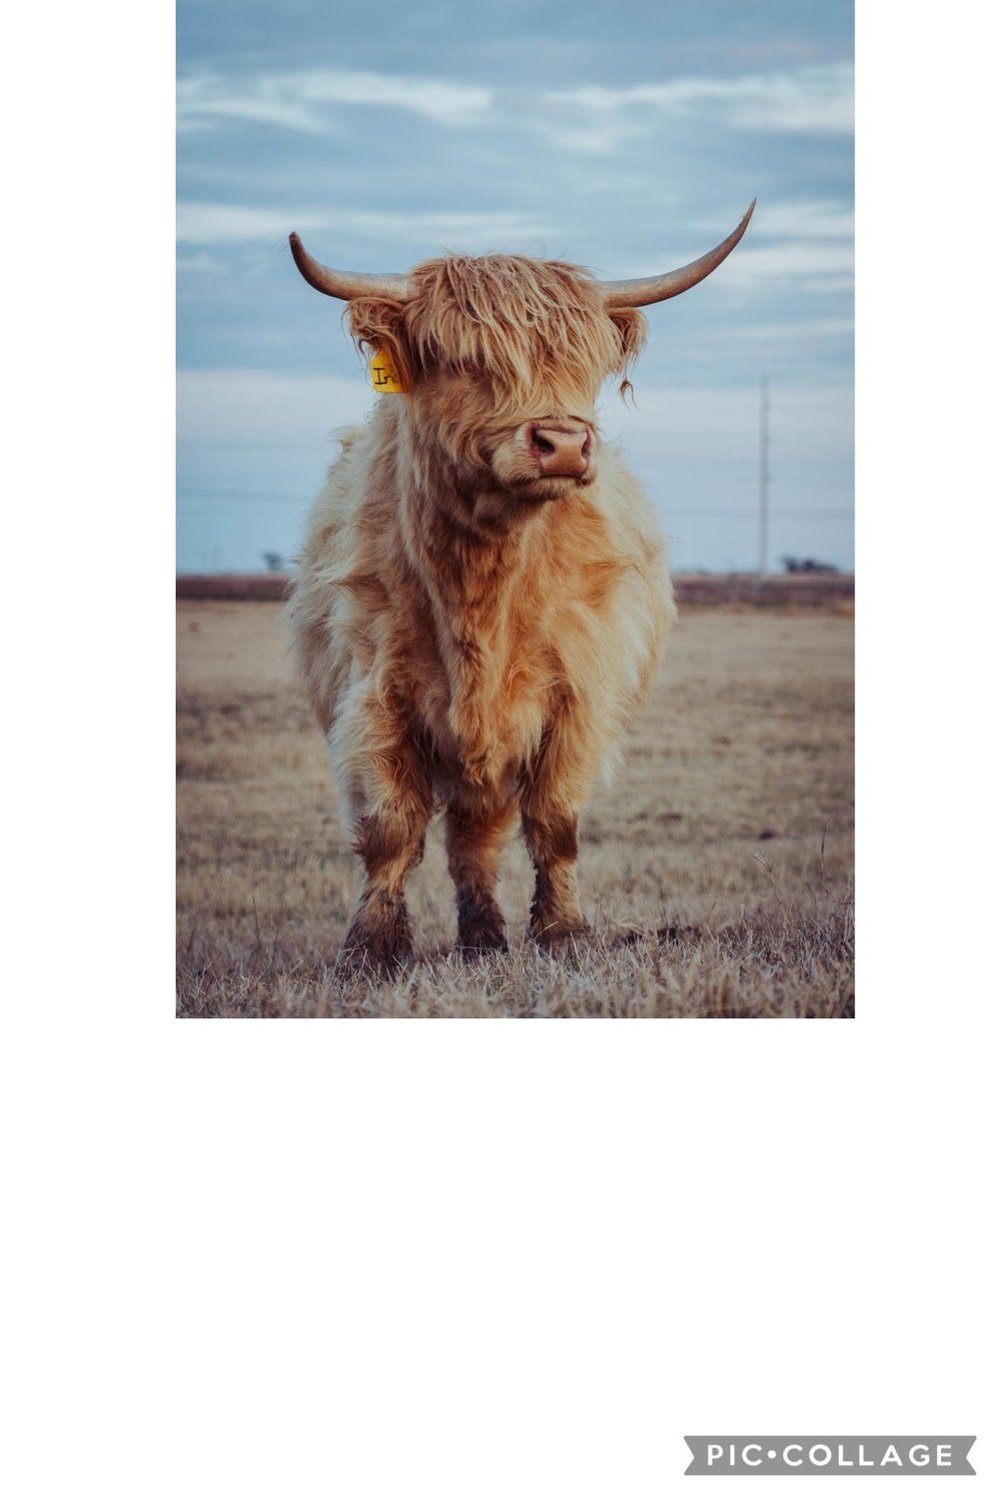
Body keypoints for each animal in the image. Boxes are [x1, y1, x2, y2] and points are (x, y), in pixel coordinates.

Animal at [287, 202, 754, 968]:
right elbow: (390, 827)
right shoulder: (373, 693)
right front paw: (372, 949)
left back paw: (484, 938)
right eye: (469, 361)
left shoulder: (577, 697)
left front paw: (561, 932)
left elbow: (555, 821)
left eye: (586, 365)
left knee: (479, 830)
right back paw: (478, 937)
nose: (562, 444)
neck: (482, 582)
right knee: (465, 833)